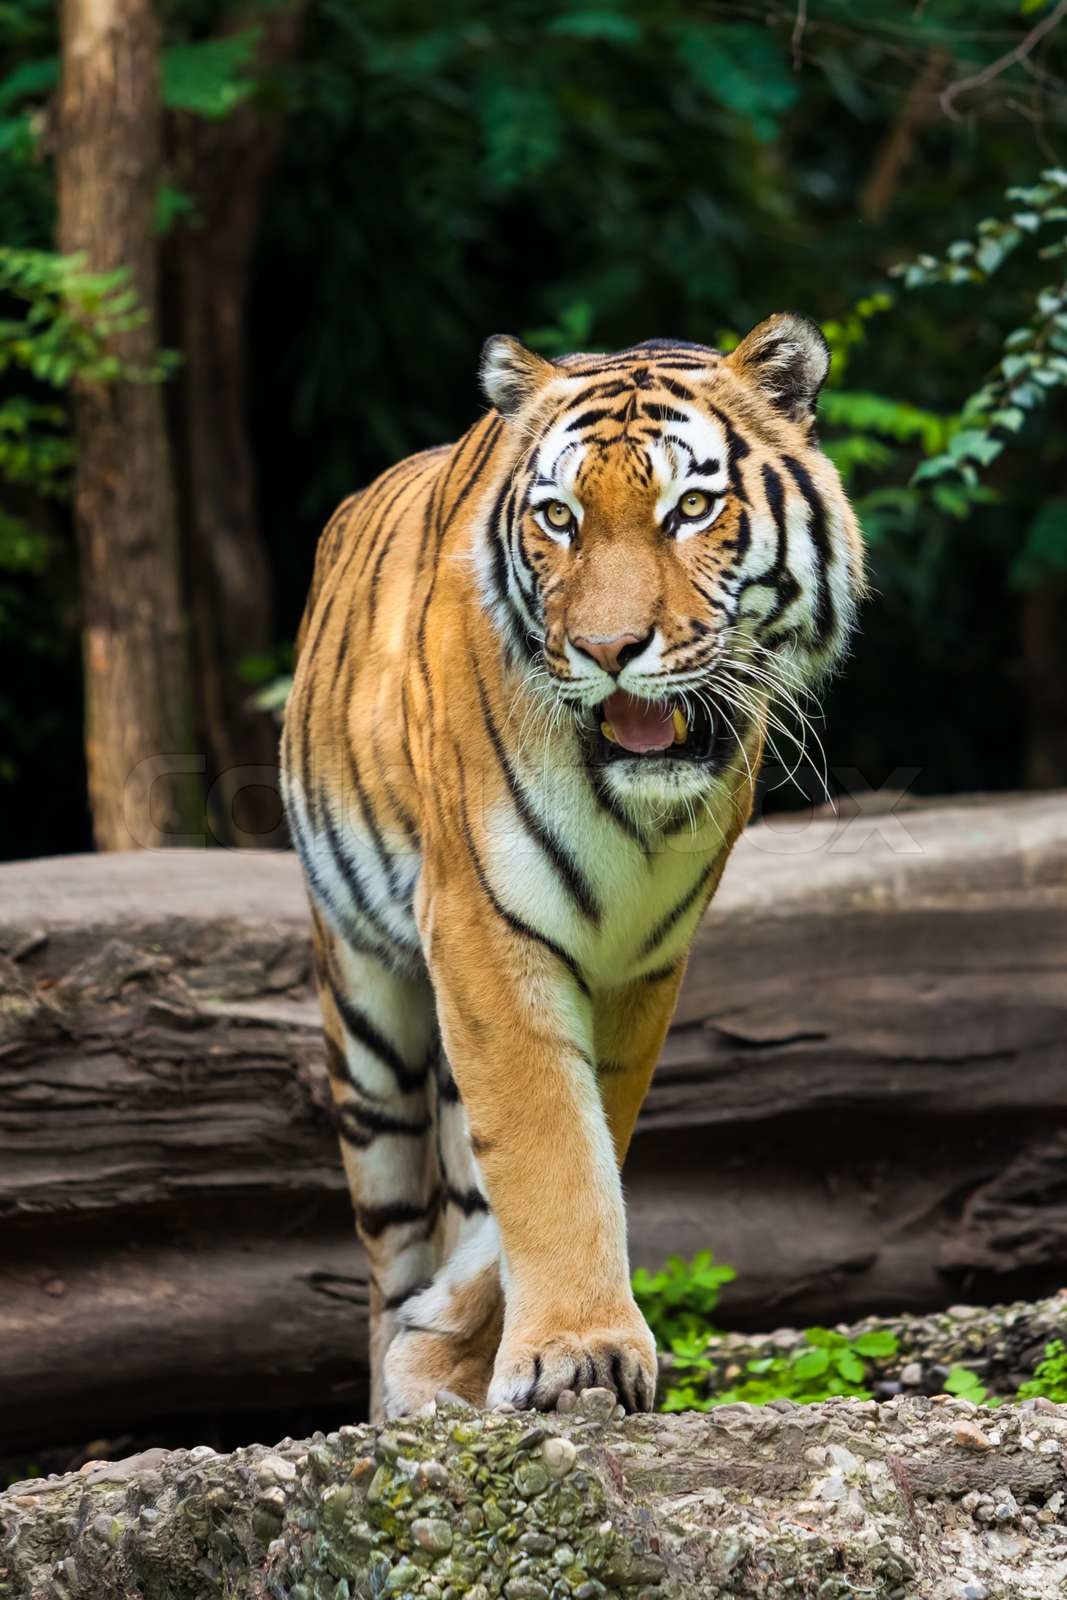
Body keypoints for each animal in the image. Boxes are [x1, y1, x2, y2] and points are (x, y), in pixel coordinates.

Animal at [281, 313, 865, 1420]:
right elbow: (549, 1143)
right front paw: (572, 1354)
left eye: (690, 508)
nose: (606, 648)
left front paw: (472, 1350)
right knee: (387, 1247)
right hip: (368, 1027)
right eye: (558, 518)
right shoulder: (479, 921)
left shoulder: (641, 960)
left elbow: (575, 1143)